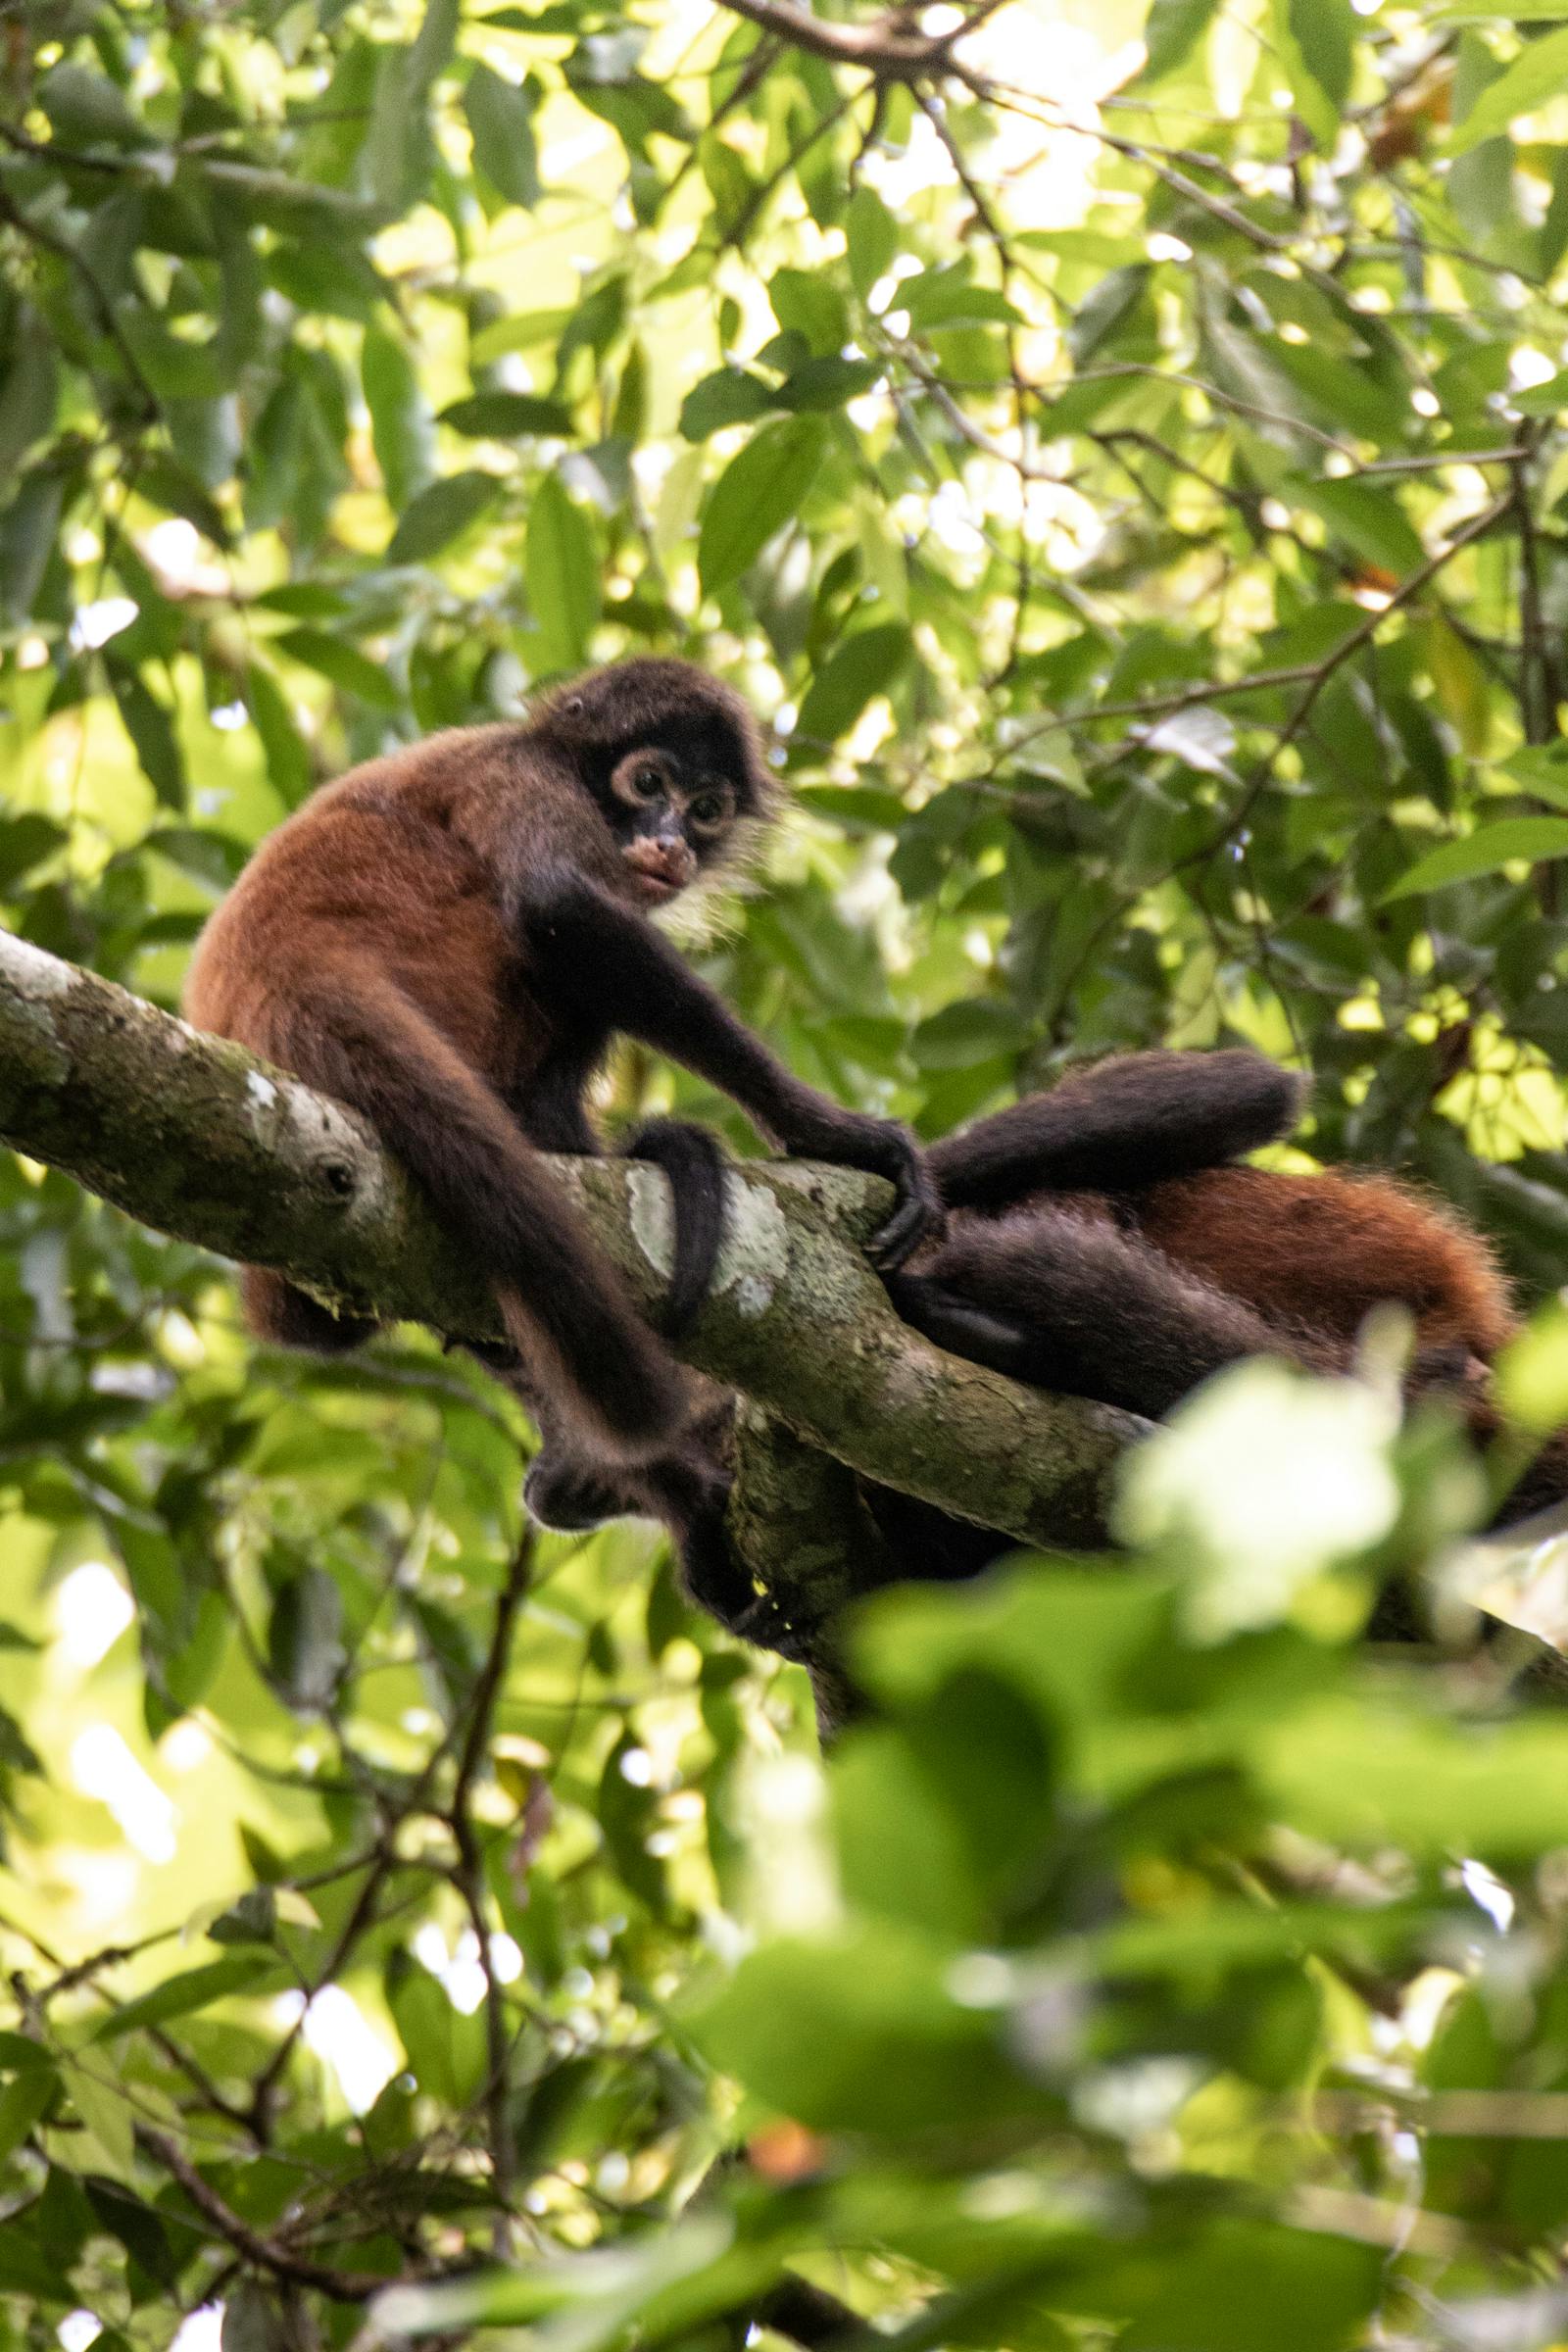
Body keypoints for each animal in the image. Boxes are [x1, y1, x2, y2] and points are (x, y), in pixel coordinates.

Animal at [182, 656, 940, 1540]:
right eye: (647, 782)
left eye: (706, 809)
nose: (671, 841)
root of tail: (280, 974)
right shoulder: (524, 777)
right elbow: (560, 908)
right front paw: (836, 1135)